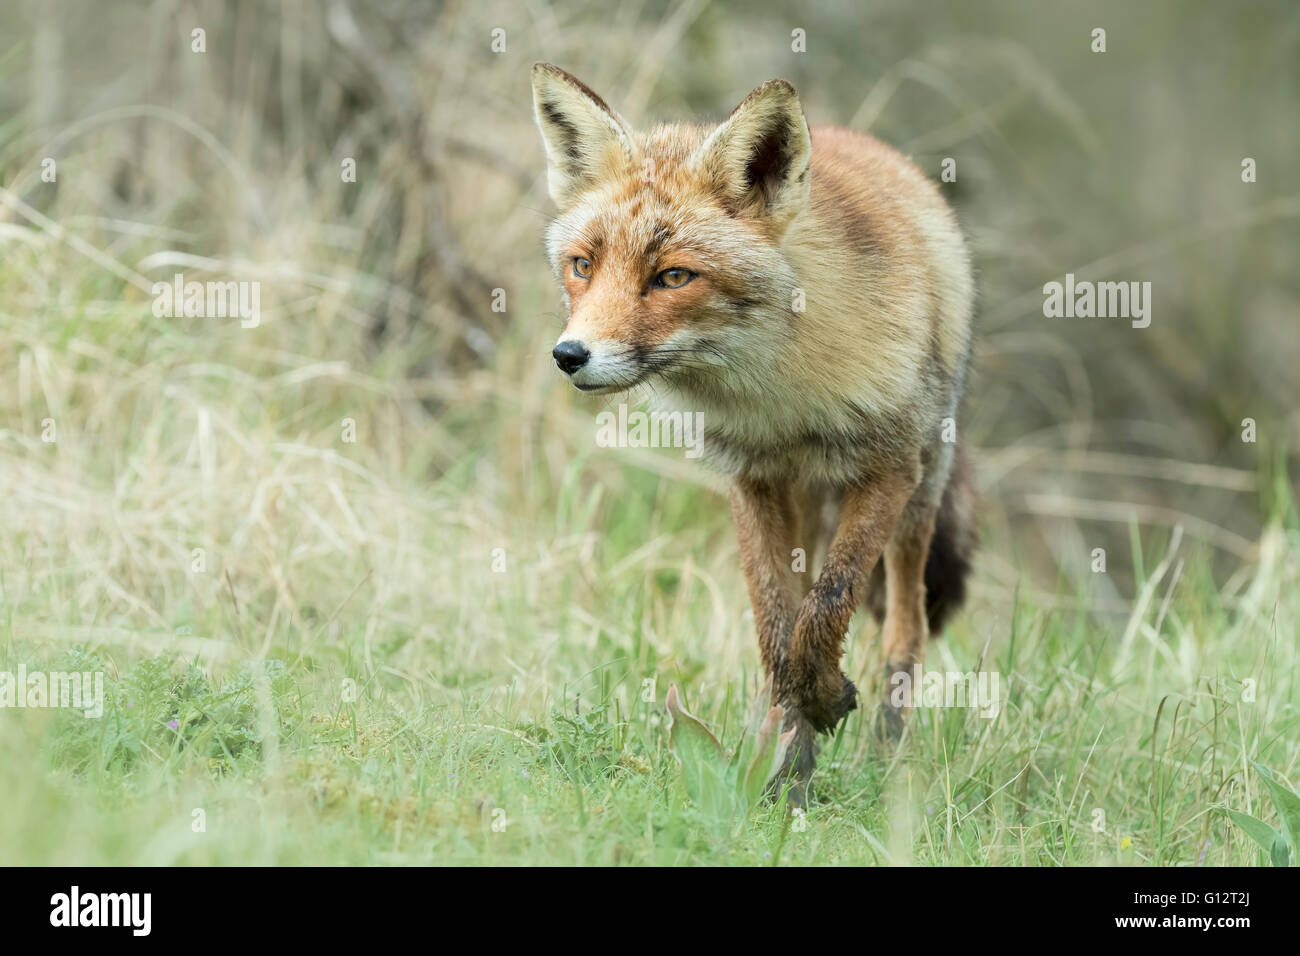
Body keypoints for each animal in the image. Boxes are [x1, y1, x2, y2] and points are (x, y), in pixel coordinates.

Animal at [531, 63, 977, 799]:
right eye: (582, 266)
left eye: (673, 276)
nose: (570, 355)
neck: (782, 397)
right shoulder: (751, 476)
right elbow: (778, 628)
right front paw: (790, 748)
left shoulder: (887, 467)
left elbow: (827, 605)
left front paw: (825, 702)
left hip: (922, 493)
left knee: (905, 628)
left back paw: (888, 758)